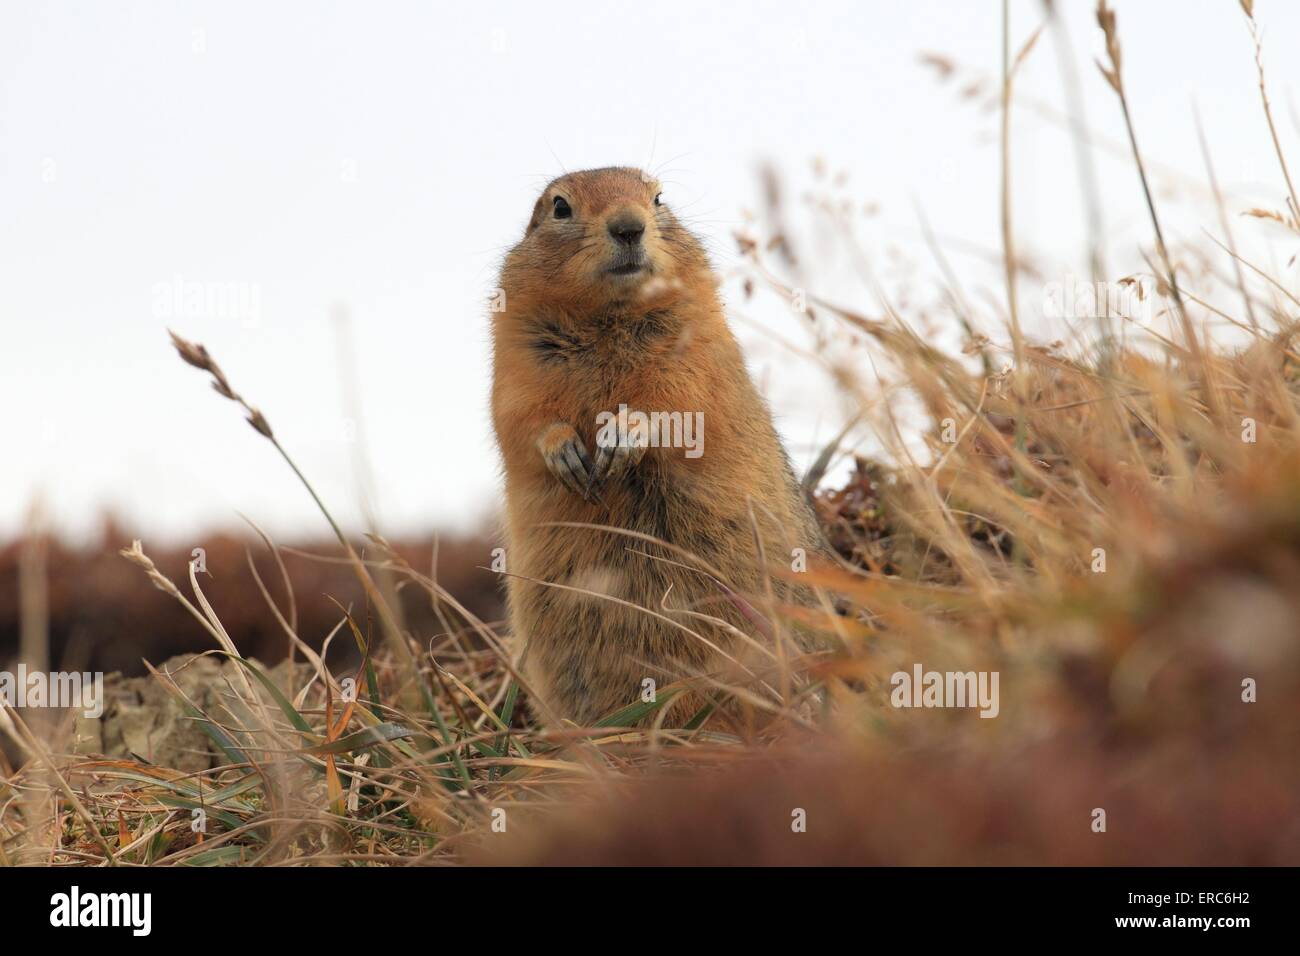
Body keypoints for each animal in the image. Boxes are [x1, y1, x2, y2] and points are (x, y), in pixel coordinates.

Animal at [491, 167, 824, 727]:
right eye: (560, 206)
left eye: (659, 198)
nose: (629, 226)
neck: (608, 317)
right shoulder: (517, 357)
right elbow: (519, 417)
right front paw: (567, 453)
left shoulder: (695, 350)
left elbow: (680, 404)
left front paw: (622, 436)